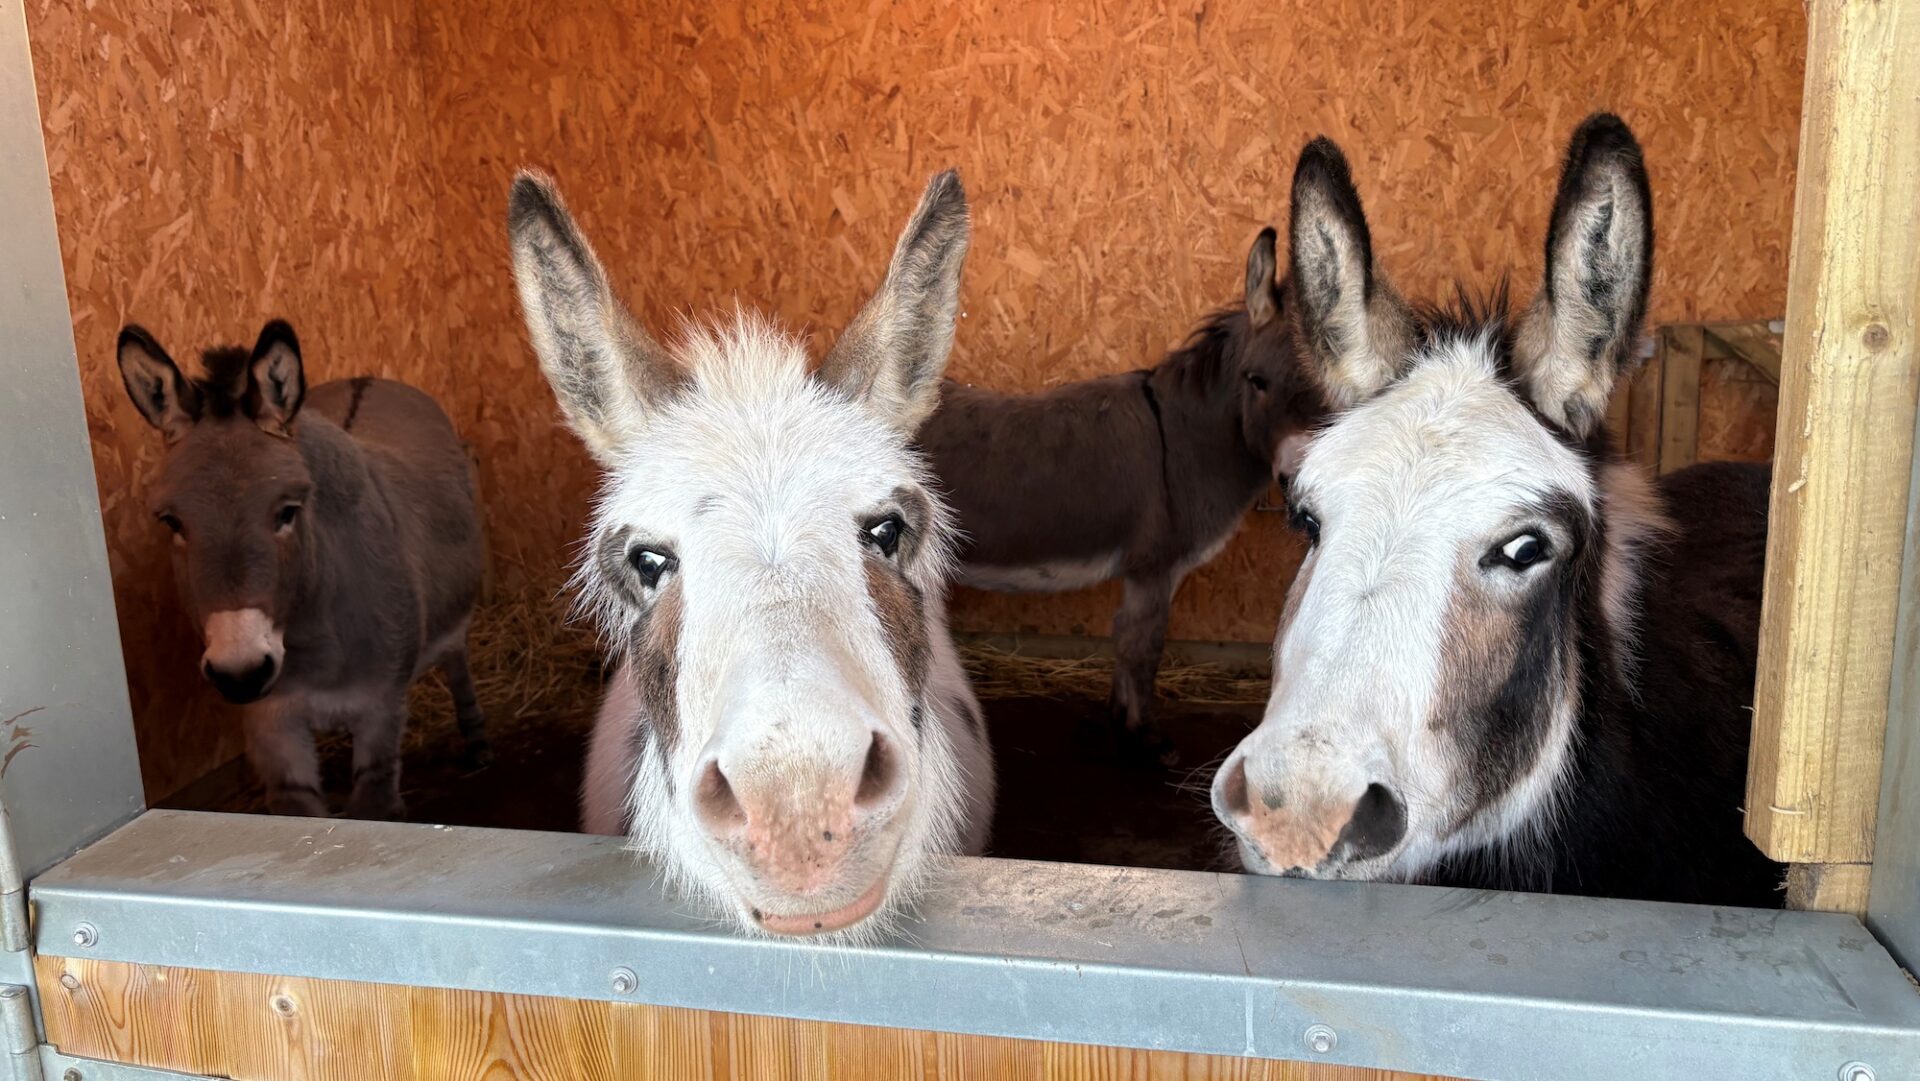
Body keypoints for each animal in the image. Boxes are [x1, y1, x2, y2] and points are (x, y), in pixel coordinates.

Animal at [116, 321, 488, 820]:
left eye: (288, 511)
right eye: (172, 522)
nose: (240, 673)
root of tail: (368, 379)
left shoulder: (380, 709)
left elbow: (375, 806)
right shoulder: (271, 725)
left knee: (456, 655)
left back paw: (477, 741)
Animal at [918, 230, 1326, 766]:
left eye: (1321, 387)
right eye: (1256, 381)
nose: (1299, 481)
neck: (1185, 438)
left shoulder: (1154, 572)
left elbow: (1131, 640)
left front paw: (1122, 720)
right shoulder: (1153, 566)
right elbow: (1143, 645)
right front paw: (1145, 737)